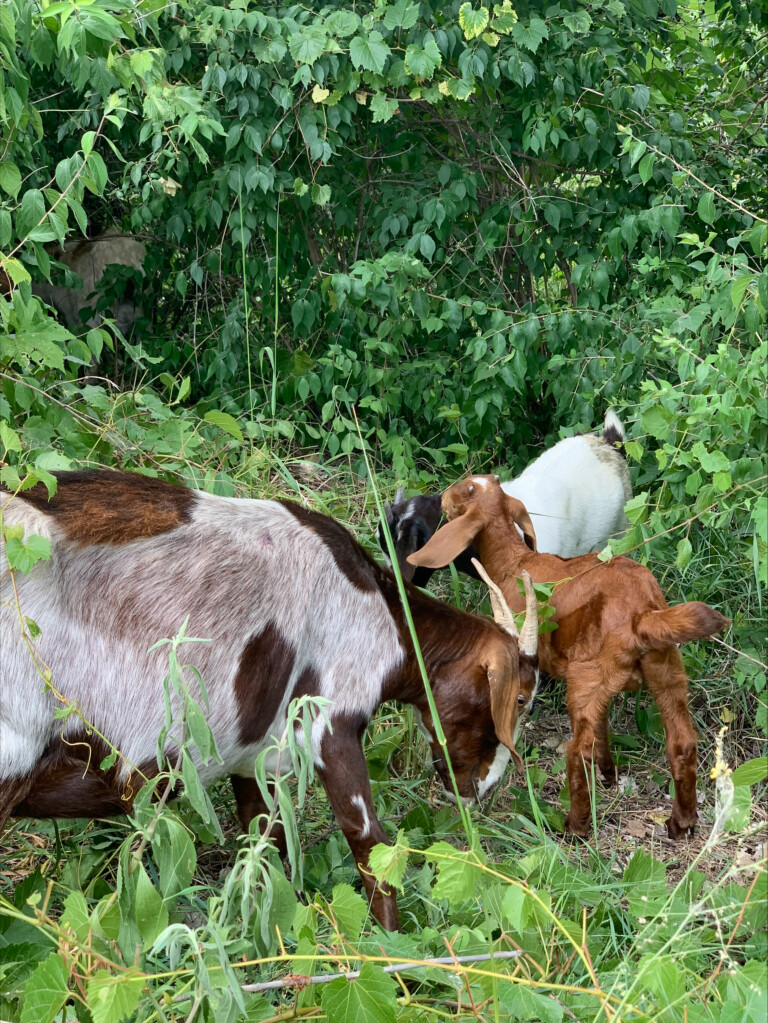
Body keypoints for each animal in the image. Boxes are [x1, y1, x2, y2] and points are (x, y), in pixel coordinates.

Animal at [0, 470, 539, 930]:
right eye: (515, 701)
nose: (480, 790)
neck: (382, 609)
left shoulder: (252, 757)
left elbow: (266, 845)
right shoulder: (331, 724)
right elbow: (368, 842)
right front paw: (393, 950)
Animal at [408, 475, 730, 840]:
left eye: (468, 490)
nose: (443, 496)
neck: (514, 563)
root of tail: (643, 613)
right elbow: (603, 723)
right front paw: (609, 774)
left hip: (586, 674)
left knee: (579, 750)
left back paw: (575, 828)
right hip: (664, 670)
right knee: (682, 742)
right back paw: (681, 823)